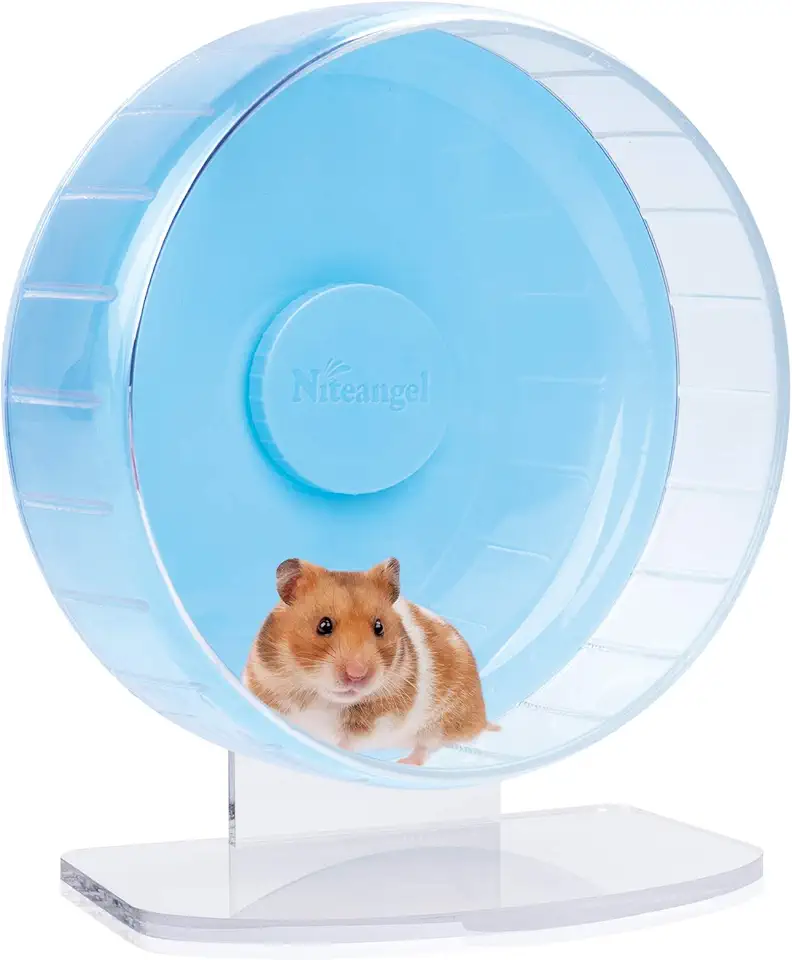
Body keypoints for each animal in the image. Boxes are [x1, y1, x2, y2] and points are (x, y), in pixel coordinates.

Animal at [243, 557, 499, 765]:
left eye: (379, 627)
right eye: (323, 625)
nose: (357, 675)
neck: (321, 698)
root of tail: (481, 716)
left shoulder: (382, 717)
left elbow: (349, 740)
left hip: (443, 723)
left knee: (425, 748)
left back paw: (404, 763)